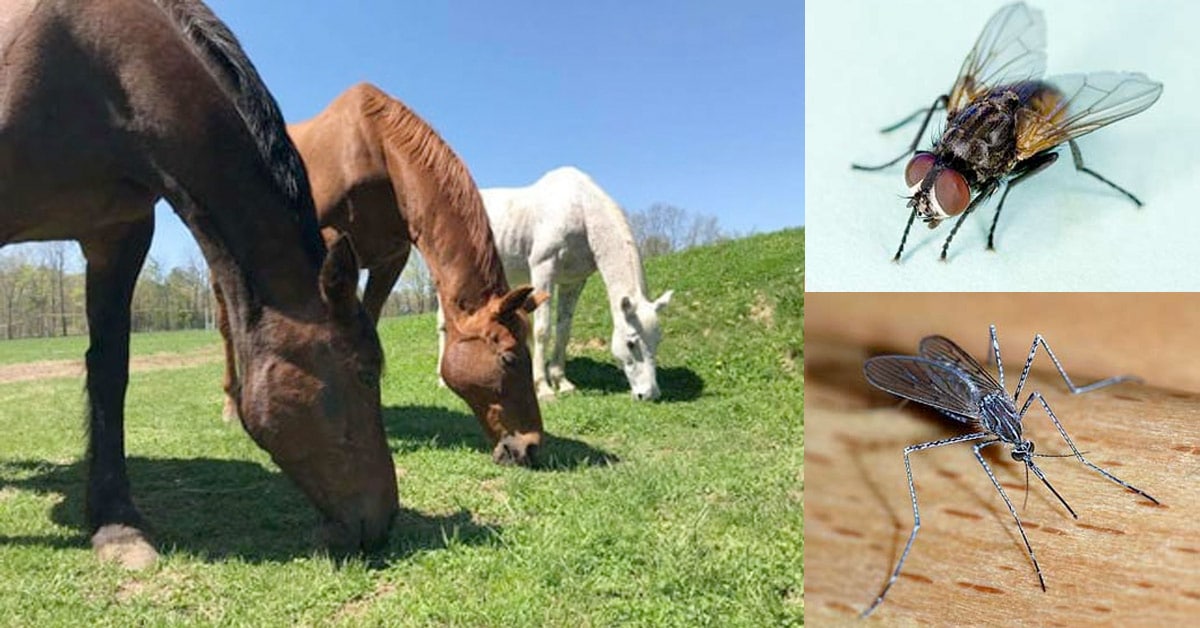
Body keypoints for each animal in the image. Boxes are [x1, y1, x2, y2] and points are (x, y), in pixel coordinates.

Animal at [213, 83, 547, 466]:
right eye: (508, 358)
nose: (529, 446)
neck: (376, 152)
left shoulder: (390, 259)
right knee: (226, 328)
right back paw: (230, 405)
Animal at [440, 167, 673, 401]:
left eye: (658, 340)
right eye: (630, 343)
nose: (649, 394)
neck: (580, 209)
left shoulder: (573, 282)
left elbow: (563, 330)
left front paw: (562, 382)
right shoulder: (543, 271)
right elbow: (543, 330)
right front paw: (543, 388)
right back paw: (443, 380)